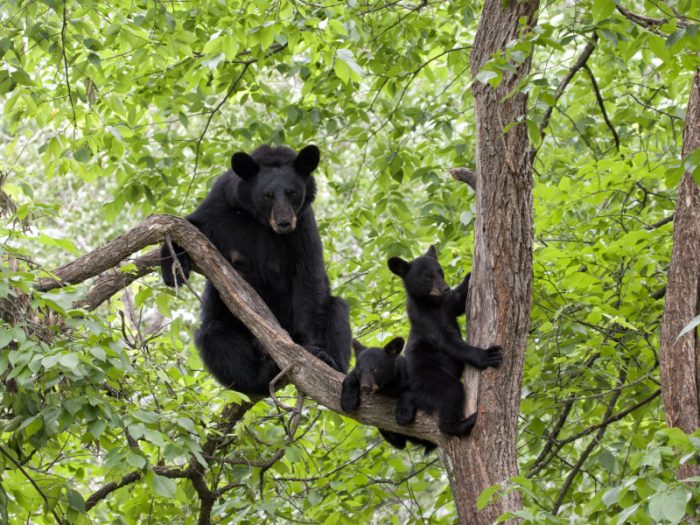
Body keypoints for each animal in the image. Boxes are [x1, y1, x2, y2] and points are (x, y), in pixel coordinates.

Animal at [160, 144, 352, 395]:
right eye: (267, 195)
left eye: (291, 192)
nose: (284, 223)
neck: (260, 221)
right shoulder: (221, 203)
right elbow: (189, 225)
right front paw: (171, 267)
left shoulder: (303, 224)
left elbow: (309, 275)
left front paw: (315, 351)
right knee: (213, 336)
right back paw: (260, 376)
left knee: (337, 309)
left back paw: (331, 362)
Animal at [388, 245, 502, 436]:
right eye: (428, 276)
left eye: (440, 272)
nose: (445, 288)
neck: (433, 303)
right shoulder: (425, 320)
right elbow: (448, 342)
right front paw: (487, 355)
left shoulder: (448, 304)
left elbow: (459, 302)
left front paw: (469, 276)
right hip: (426, 378)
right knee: (451, 390)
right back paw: (458, 425)